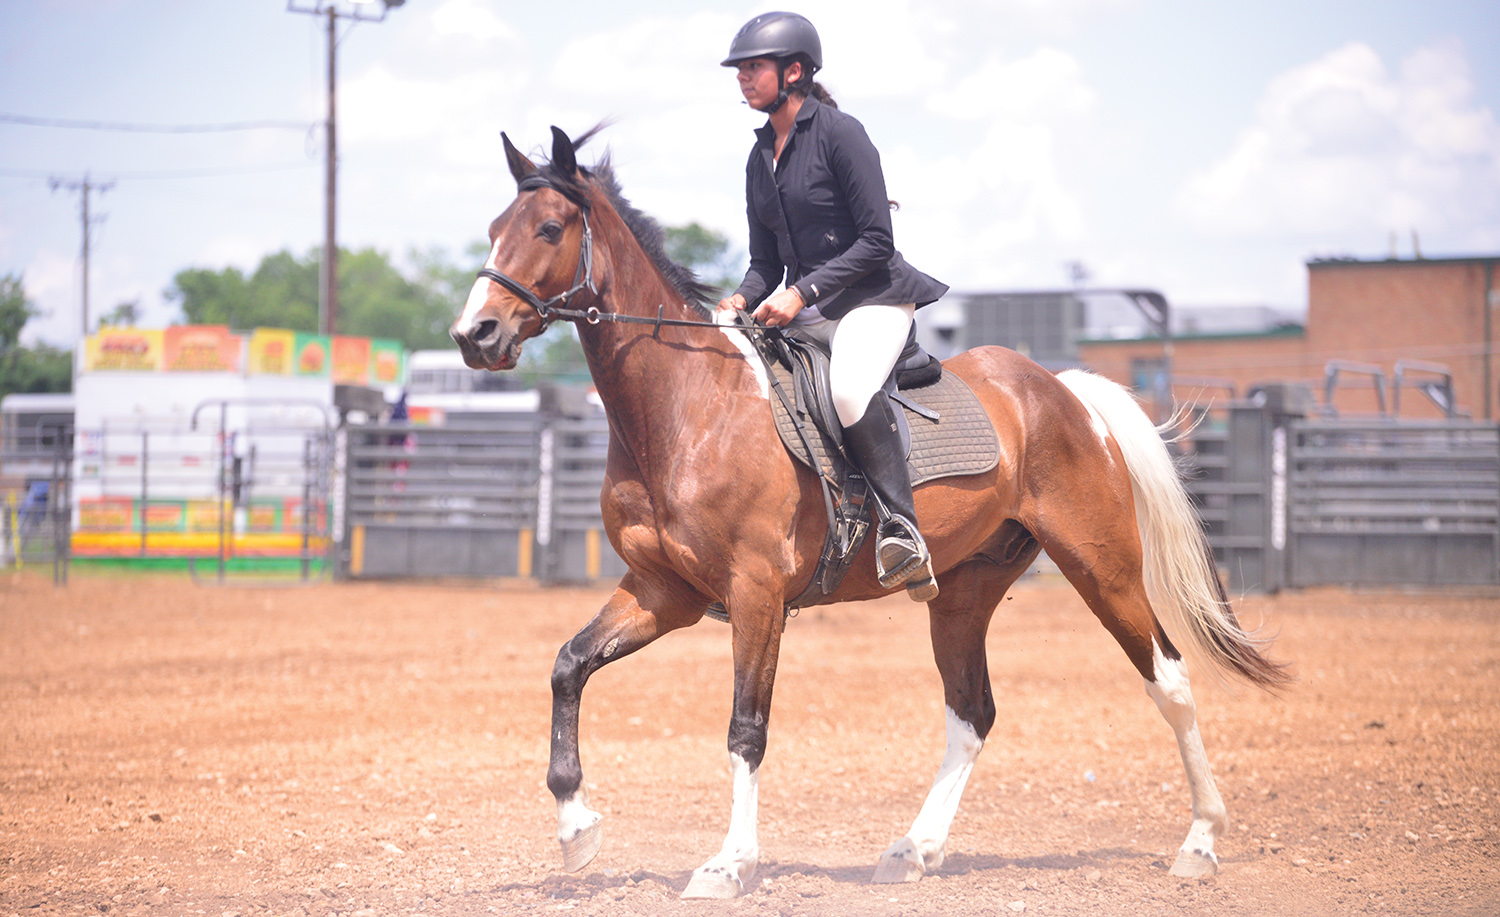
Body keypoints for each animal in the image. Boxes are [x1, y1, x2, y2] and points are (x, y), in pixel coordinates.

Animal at [450, 125, 1290, 900]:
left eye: (548, 229)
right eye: (493, 228)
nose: (473, 334)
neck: (686, 407)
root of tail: (1061, 388)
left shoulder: (756, 595)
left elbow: (746, 728)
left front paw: (729, 863)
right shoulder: (664, 592)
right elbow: (568, 667)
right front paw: (576, 829)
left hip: (1102, 568)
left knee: (1169, 679)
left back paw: (1200, 841)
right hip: (964, 591)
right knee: (971, 712)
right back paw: (913, 849)